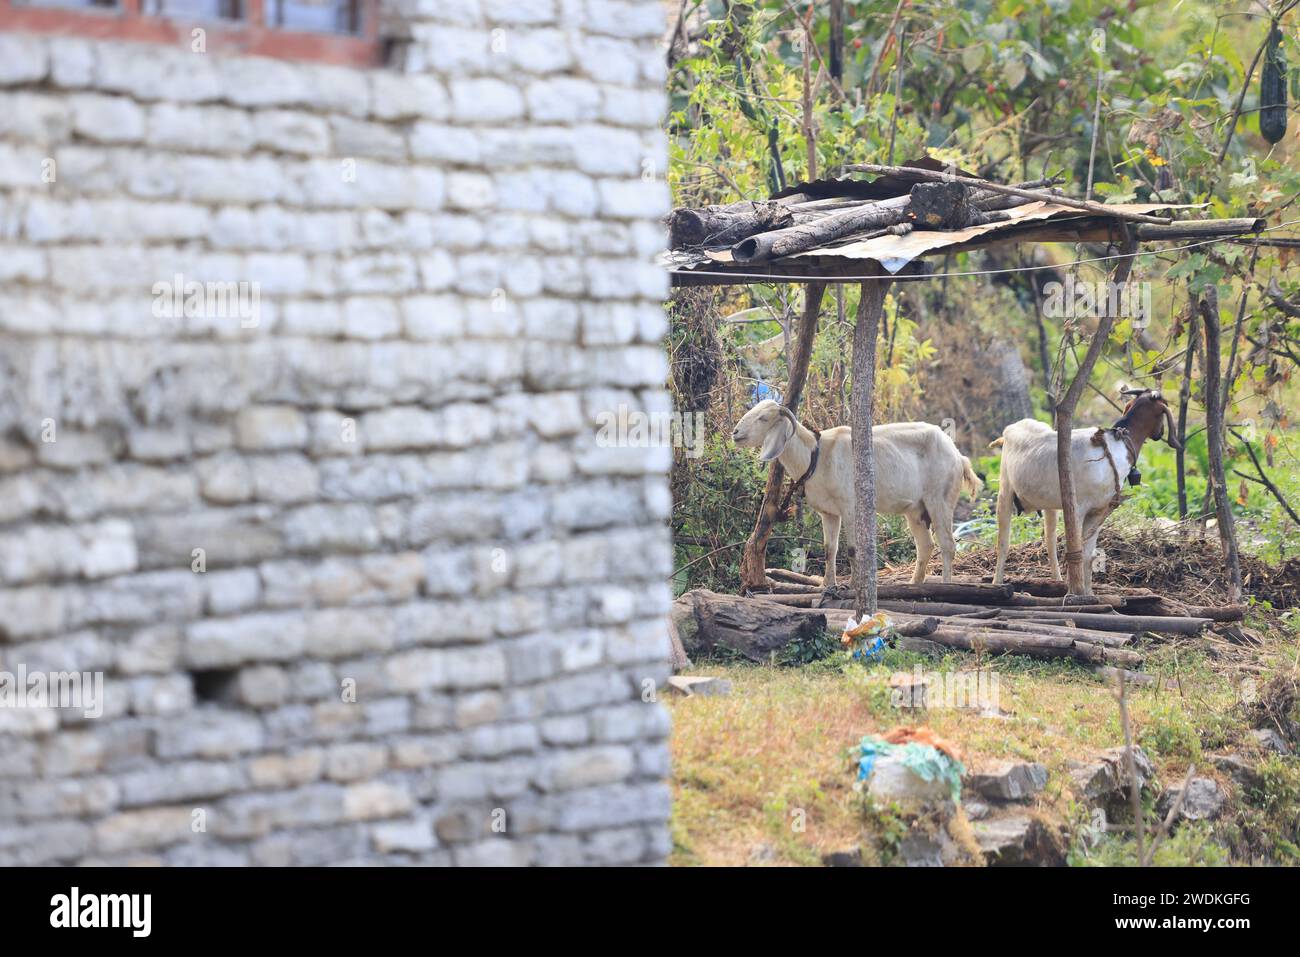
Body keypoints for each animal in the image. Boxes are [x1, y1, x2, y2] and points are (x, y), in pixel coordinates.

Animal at [731, 400, 982, 587]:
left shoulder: (850, 507)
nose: (735, 433)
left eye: (763, 418)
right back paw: (914, 584)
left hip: (940, 501)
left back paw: (946, 585)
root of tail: (958, 456)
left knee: (948, 545)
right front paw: (827, 585)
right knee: (926, 546)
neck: (817, 455)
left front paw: (853, 586)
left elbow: (852, 550)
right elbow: (829, 550)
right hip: (916, 510)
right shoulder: (829, 513)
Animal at [990, 389, 1180, 593]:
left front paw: (1088, 592)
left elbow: (1089, 556)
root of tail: (1012, 428)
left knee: (1049, 540)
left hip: (1050, 504)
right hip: (1005, 488)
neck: (1115, 448)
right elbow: (1076, 550)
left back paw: (1057, 580)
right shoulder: (1078, 508)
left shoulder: (1098, 511)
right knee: (1003, 541)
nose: (1160, 433)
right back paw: (997, 583)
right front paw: (1076, 591)